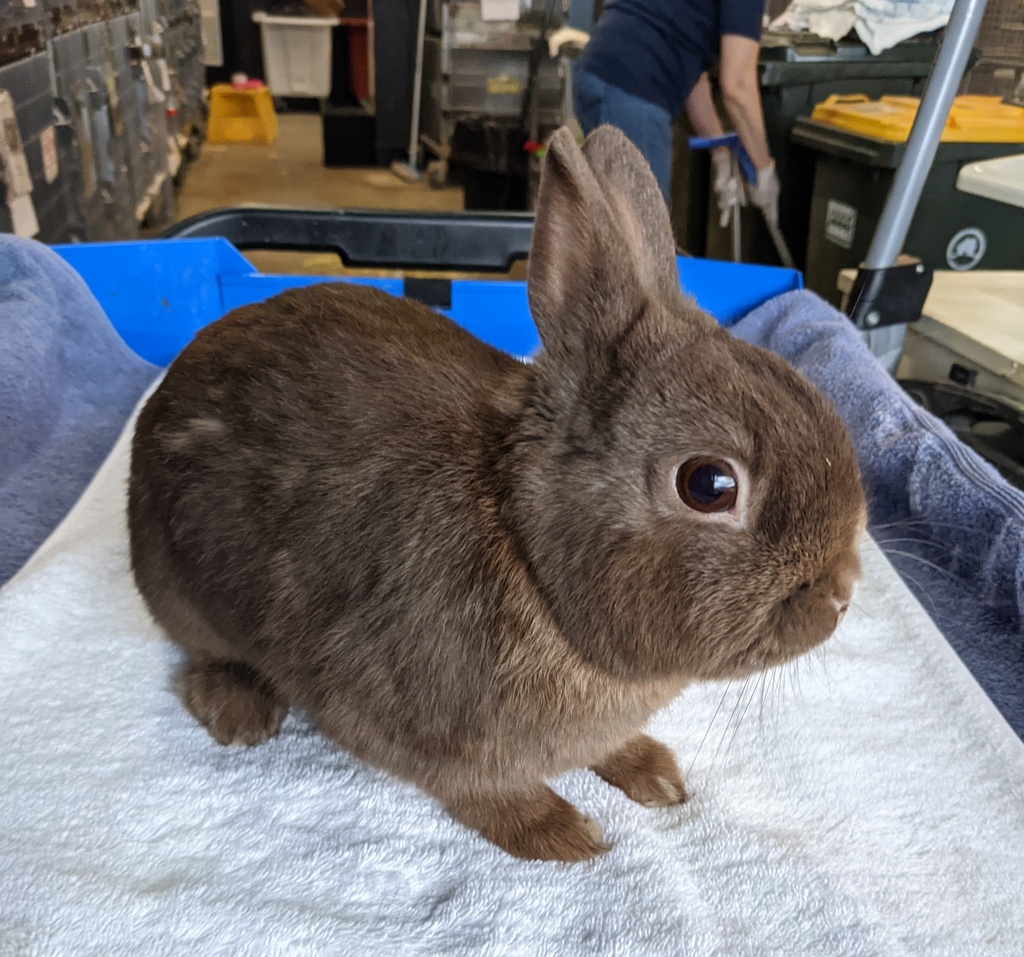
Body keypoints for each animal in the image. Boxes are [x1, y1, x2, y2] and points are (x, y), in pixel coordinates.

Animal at [127, 124, 866, 863]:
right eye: (709, 485)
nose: (839, 595)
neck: (530, 553)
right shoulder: (409, 718)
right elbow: (480, 790)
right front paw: (561, 834)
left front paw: (653, 772)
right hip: (181, 589)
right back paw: (240, 711)